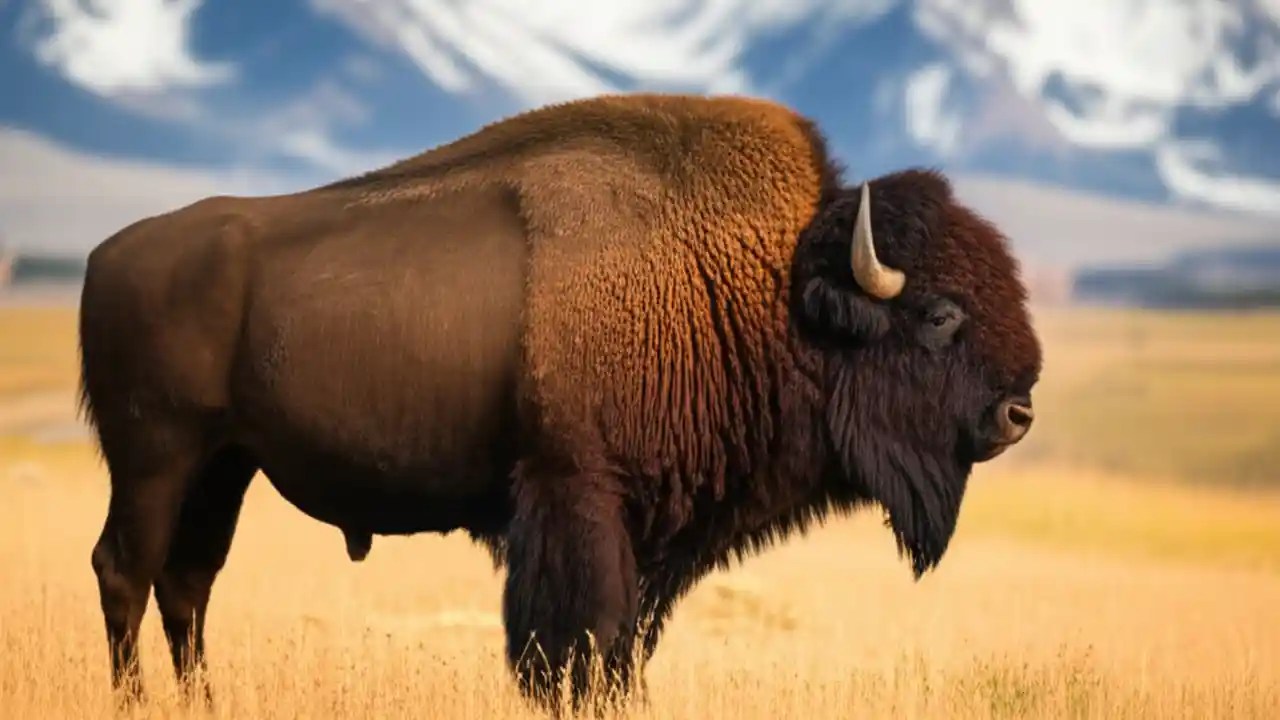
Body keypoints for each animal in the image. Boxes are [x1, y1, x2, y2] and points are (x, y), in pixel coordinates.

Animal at [77, 93, 1041, 708]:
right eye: (940, 313)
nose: (1017, 413)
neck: (764, 289)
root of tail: (104, 256)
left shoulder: (656, 536)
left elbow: (626, 647)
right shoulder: (577, 496)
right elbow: (579, 642)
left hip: (224, 467)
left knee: (188, 582)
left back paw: (201, 703)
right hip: (155, 458)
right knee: (126, 570)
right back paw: (135, 704)